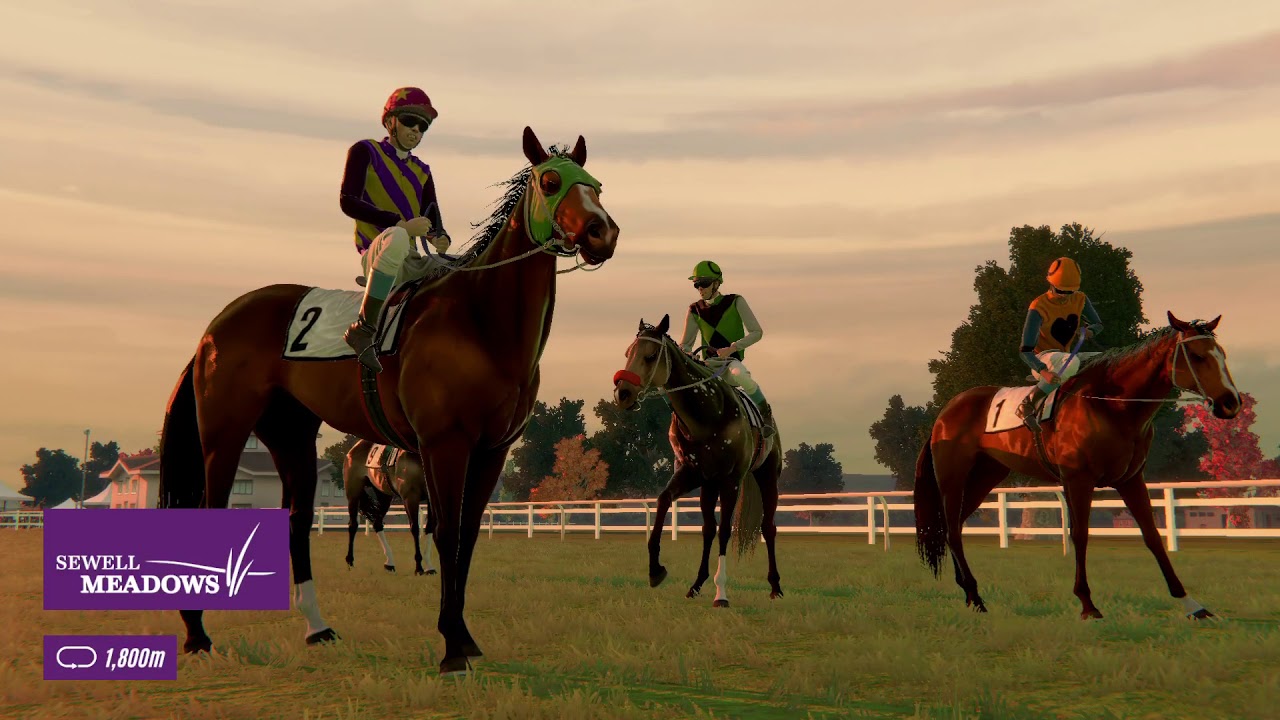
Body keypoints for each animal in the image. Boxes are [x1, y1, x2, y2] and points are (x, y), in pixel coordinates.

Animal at [343, 439, 437, 576]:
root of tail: (354, 448)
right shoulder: (410, 496)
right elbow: (415, 528)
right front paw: (418, 567)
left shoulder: (431, 498)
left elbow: (430, 527)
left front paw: (429, 566)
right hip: (353, 492)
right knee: (353, 525)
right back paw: (350, 561)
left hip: (383, 494)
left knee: (377, 524)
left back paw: (389, 562)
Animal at [612, 314, 784, 607]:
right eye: (627, 353)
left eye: (651, 355)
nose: (623, 394)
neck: (706, 415)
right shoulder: (693, 474)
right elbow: (663, 502)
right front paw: (655, 570)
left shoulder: (730, 480)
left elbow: (725, 530)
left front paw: (721, 593)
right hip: (709, 486)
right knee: (708, 529)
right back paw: (696, 584)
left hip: (767, 475)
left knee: (768, 527)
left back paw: (775, 586)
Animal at [914, 311, 1242, 620]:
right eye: (1197, 356)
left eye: (1222, 354)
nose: (1231, 403)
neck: (1112, 405)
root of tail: (946, 410)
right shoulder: (1077, 480)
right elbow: (1080, 534)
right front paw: (1087, 604)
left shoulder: (1131, 479)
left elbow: (1152, 535)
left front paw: (1191, 604)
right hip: (954, 478)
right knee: (952, 530)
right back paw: (976, 596)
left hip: (985, 477)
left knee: (953, 526)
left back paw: (969, 594)